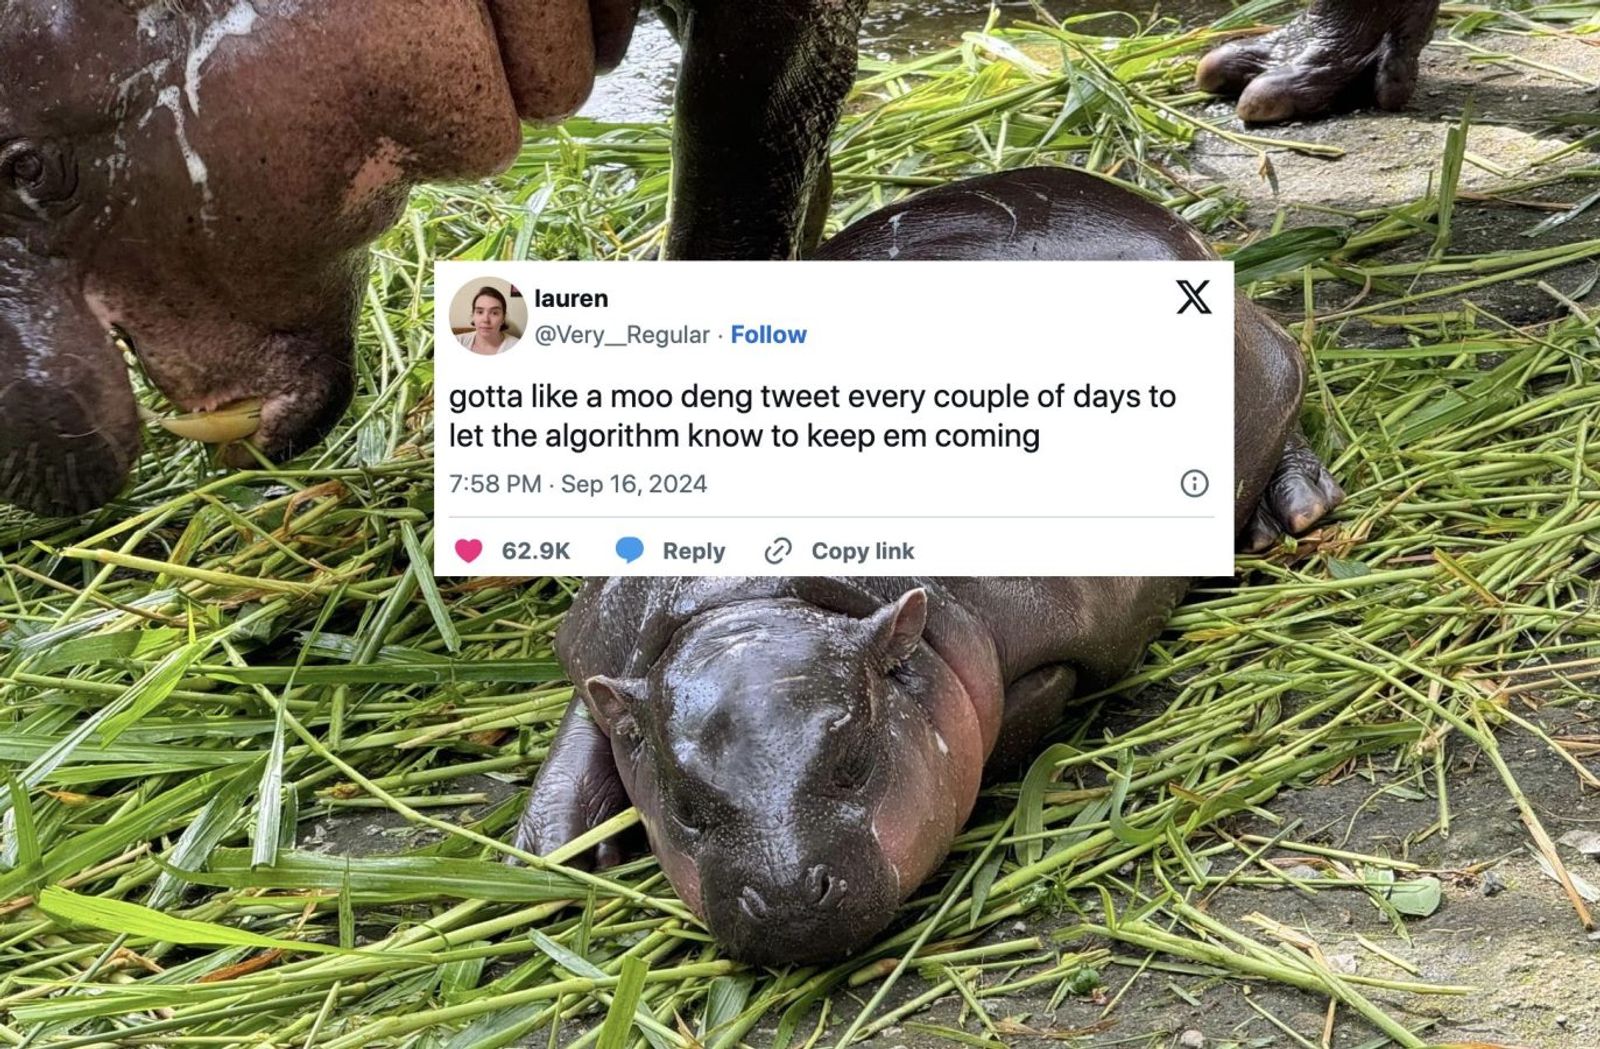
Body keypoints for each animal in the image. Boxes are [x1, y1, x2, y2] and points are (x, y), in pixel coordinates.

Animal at [510, 167, 1344, 965]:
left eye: (854, 761)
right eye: (685, 807)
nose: (785, 897)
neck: (752, 596)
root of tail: (1146, 206)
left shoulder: (1043, 652)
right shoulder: (606, 640)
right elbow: (588, 718)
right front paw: (543, 853)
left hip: (1262, 371)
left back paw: (1290, 514)